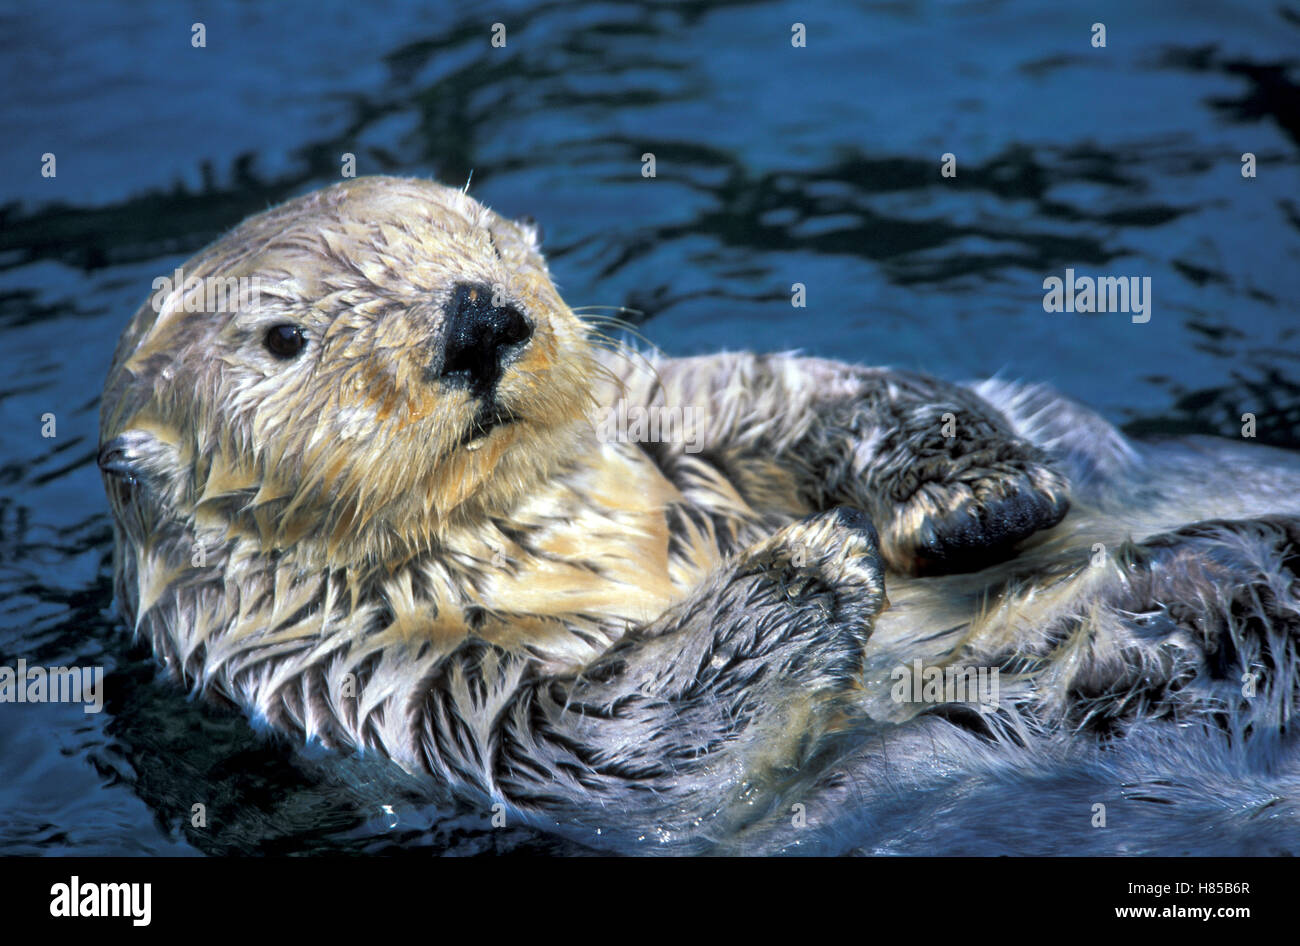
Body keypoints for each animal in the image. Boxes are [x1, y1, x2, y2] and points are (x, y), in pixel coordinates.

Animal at [99, 176, 1300, 854]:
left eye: (497, 249)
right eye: (283, 338)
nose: (478, 318)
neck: (533, 519)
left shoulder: (681, 406)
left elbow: (827, 391)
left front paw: (973, 495)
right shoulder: (374, 683)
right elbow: (597, 743)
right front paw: (809, 568)